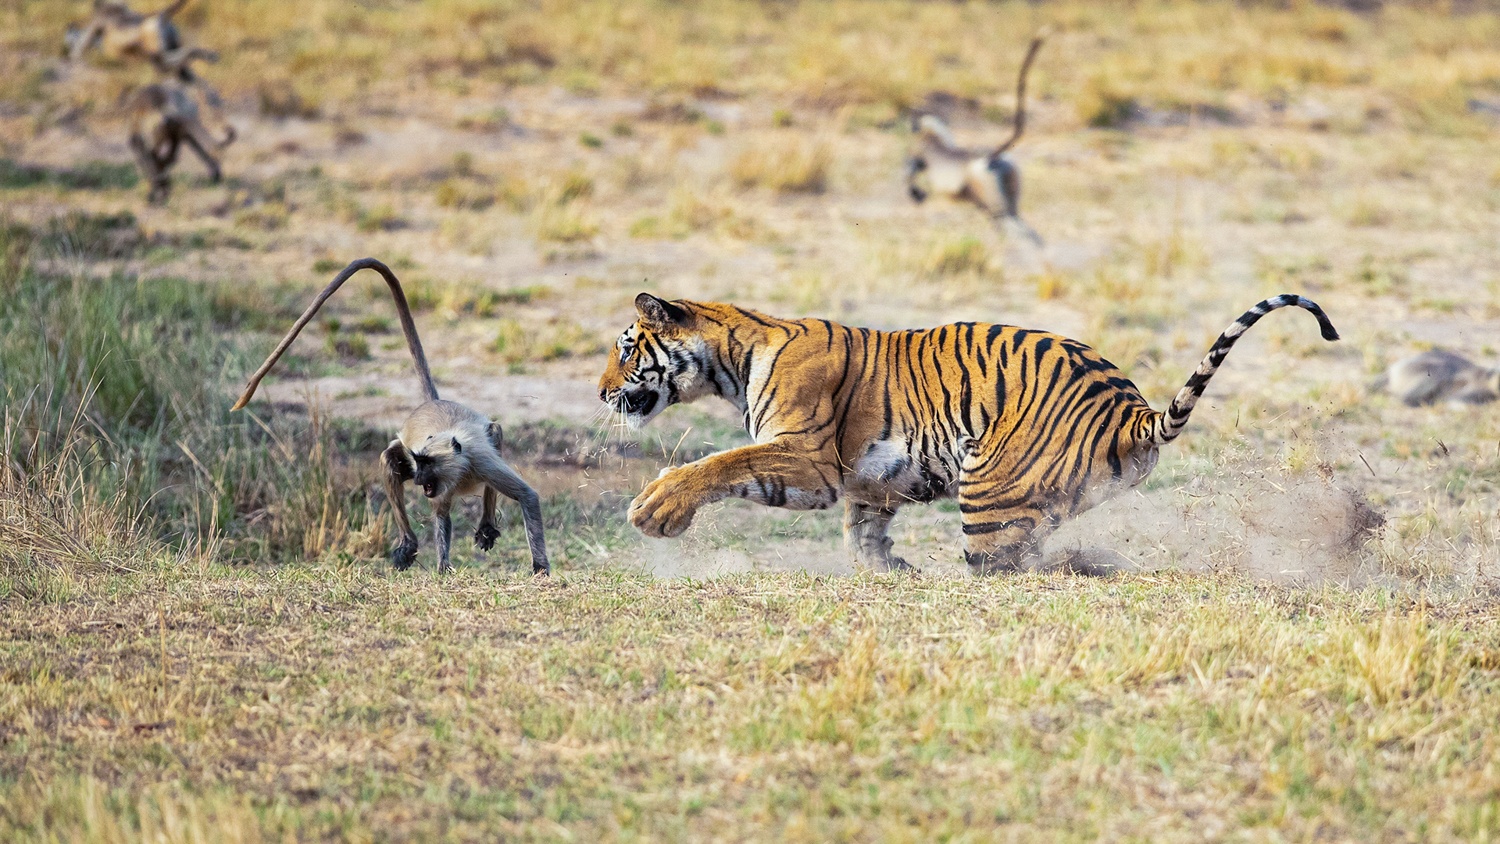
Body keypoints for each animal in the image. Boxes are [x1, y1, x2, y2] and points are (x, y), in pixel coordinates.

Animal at [231, 258, 550, 576]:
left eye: (427, 463)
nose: (419, 478)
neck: (458, 467)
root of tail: (433, 402)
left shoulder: (479, 462)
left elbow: (527, 496)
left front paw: (540, 567)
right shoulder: (440, 485)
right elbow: (441, 516)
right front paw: (443, 567)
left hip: (485, 448)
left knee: (495, 432)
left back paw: (485, 527)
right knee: (389, 459)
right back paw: (408, 544)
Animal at [598, 293, 1340, 575]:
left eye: (626, 348)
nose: (601, 391)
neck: (732, 358)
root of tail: (1131, 407)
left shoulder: (809, 459)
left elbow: (720, 463)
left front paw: (656, 510)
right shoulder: (869, 480)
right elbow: (864, 533)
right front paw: (888, 571)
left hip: (990, 497)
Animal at [906, 34, 1046, 244]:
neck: (933, 135)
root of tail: (991, 158)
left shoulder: (918, 149)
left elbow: (911, 170)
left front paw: (916, 193)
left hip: (983, 185)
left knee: (1002, 218)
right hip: (1009, 174)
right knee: (1013, 218)